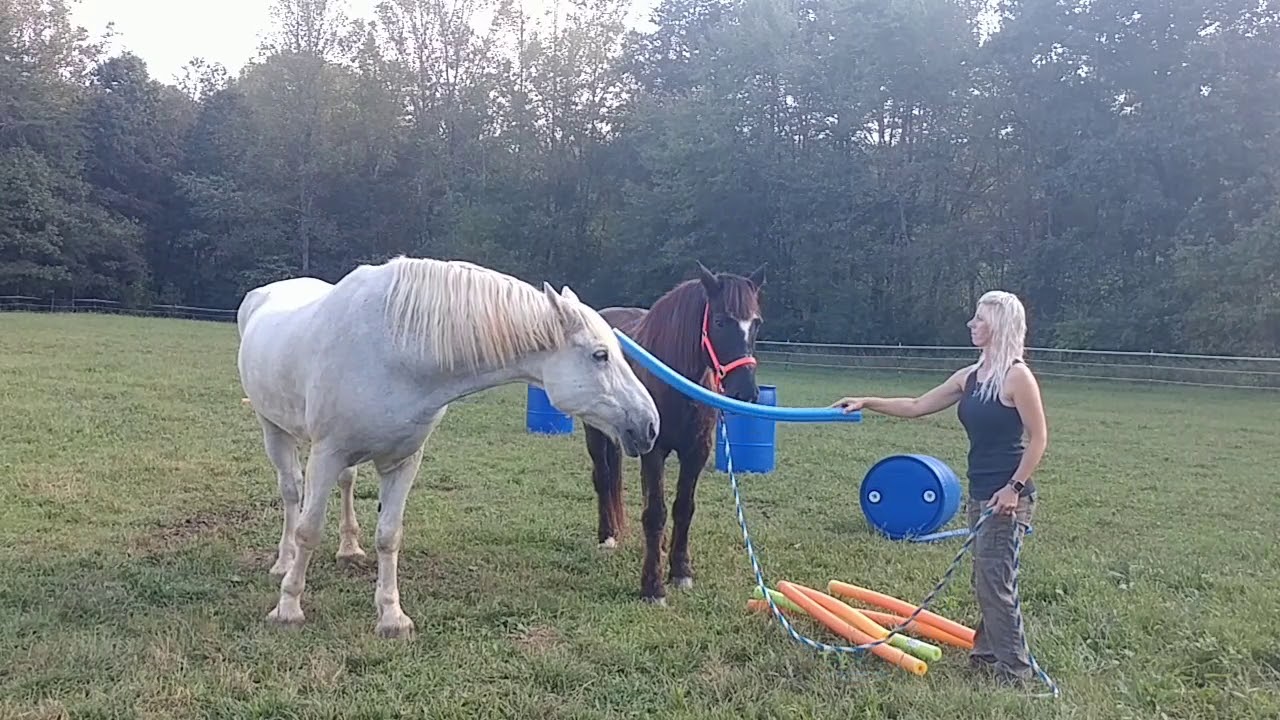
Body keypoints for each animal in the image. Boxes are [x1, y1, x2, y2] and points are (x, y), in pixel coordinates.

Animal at [236, 255, 661, 638]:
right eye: (600, 355)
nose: (650, 425)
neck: (394, 350)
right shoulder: (327, 453)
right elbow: (308, 529)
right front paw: (288, 607)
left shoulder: (402, 461)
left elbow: (389, 535)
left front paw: (391, 617)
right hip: (274, 428)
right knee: (291, 491)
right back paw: (283, 562)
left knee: (347, 483)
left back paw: (349, 549)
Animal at [585, 261, 766, 605]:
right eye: (720, 321)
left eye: (757, 323)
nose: (746, 392)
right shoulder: (653, 450)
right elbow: (655, 512)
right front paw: (653, 586)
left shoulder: (697, 452)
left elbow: (683, 508)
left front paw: (680, 570)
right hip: (596, 433)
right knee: (603, 477)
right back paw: (608, 537)